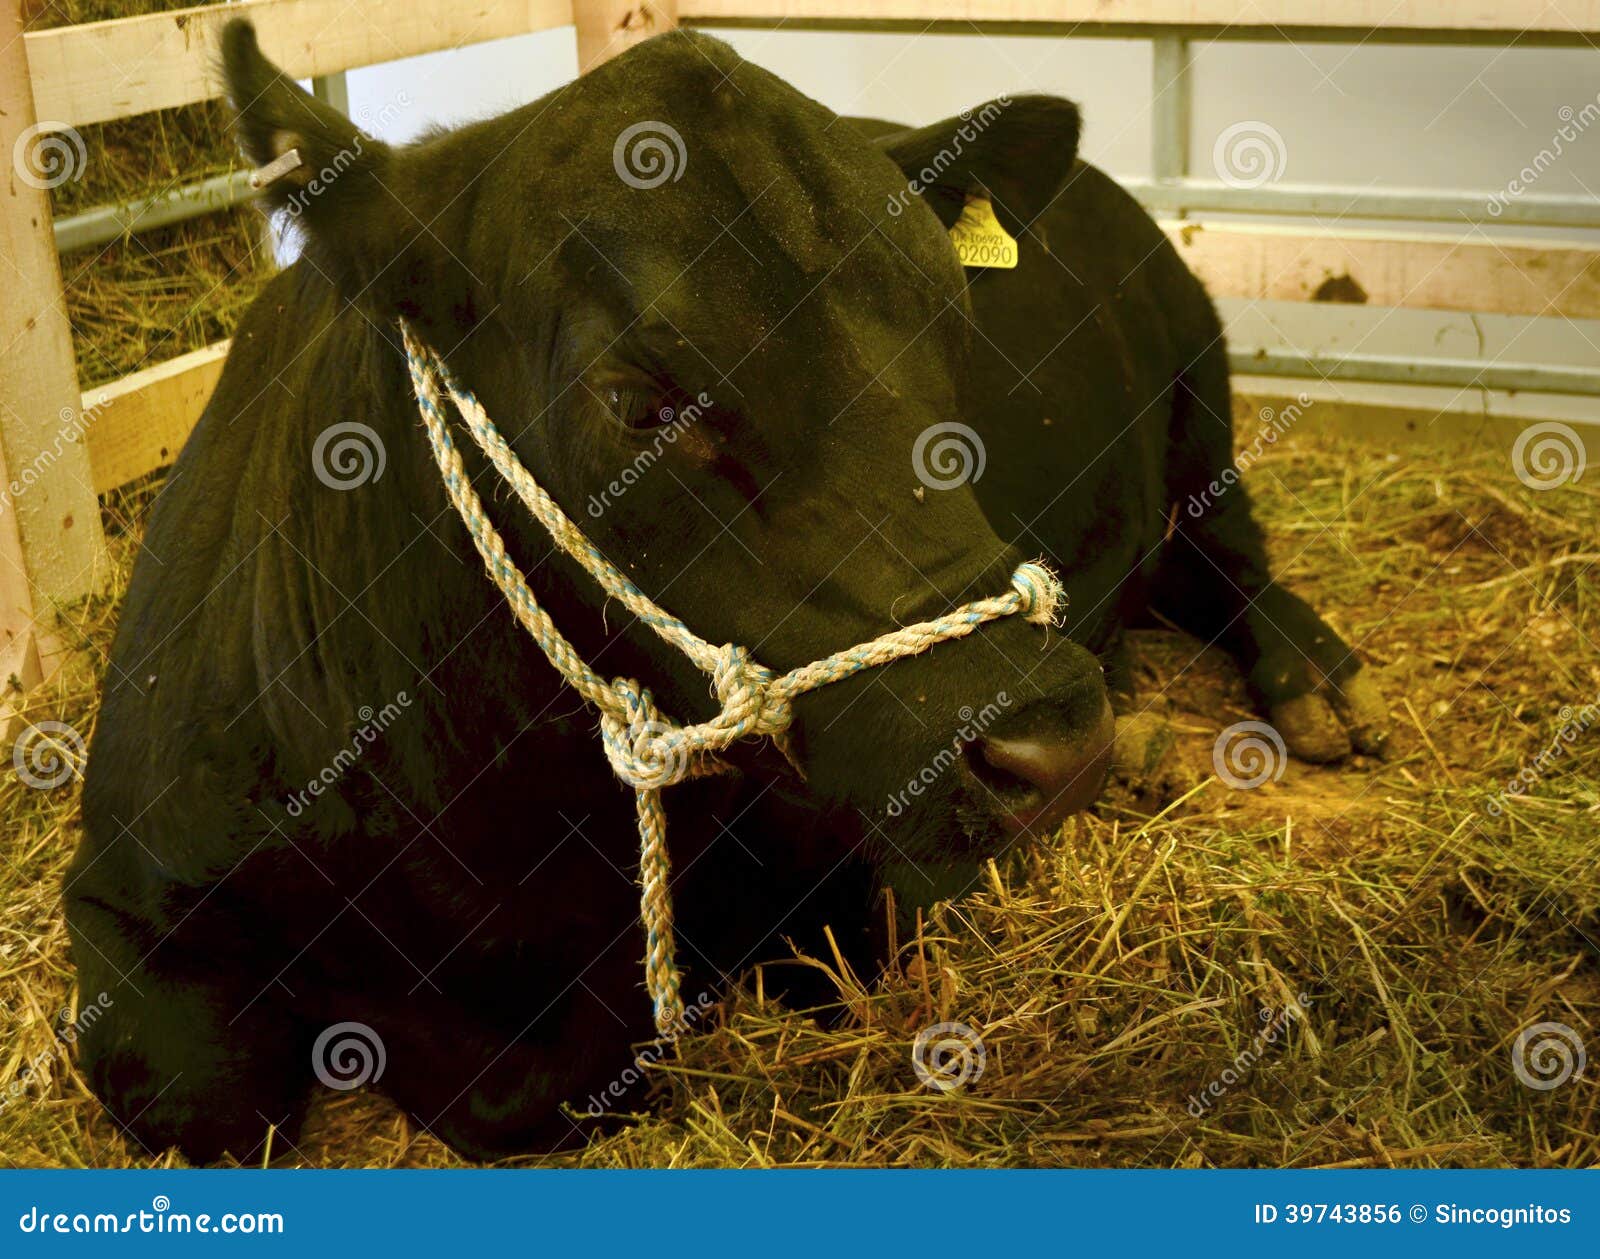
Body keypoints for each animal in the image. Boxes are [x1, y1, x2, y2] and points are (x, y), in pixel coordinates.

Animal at [66, 22, 1387, 1165]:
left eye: (952, 323)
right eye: (638, 400)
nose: (1050, 742)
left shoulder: (859, 885)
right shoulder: (121, 895)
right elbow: (198, 1094)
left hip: (1203, 394)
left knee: (1230, 555)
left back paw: (1297, 686)